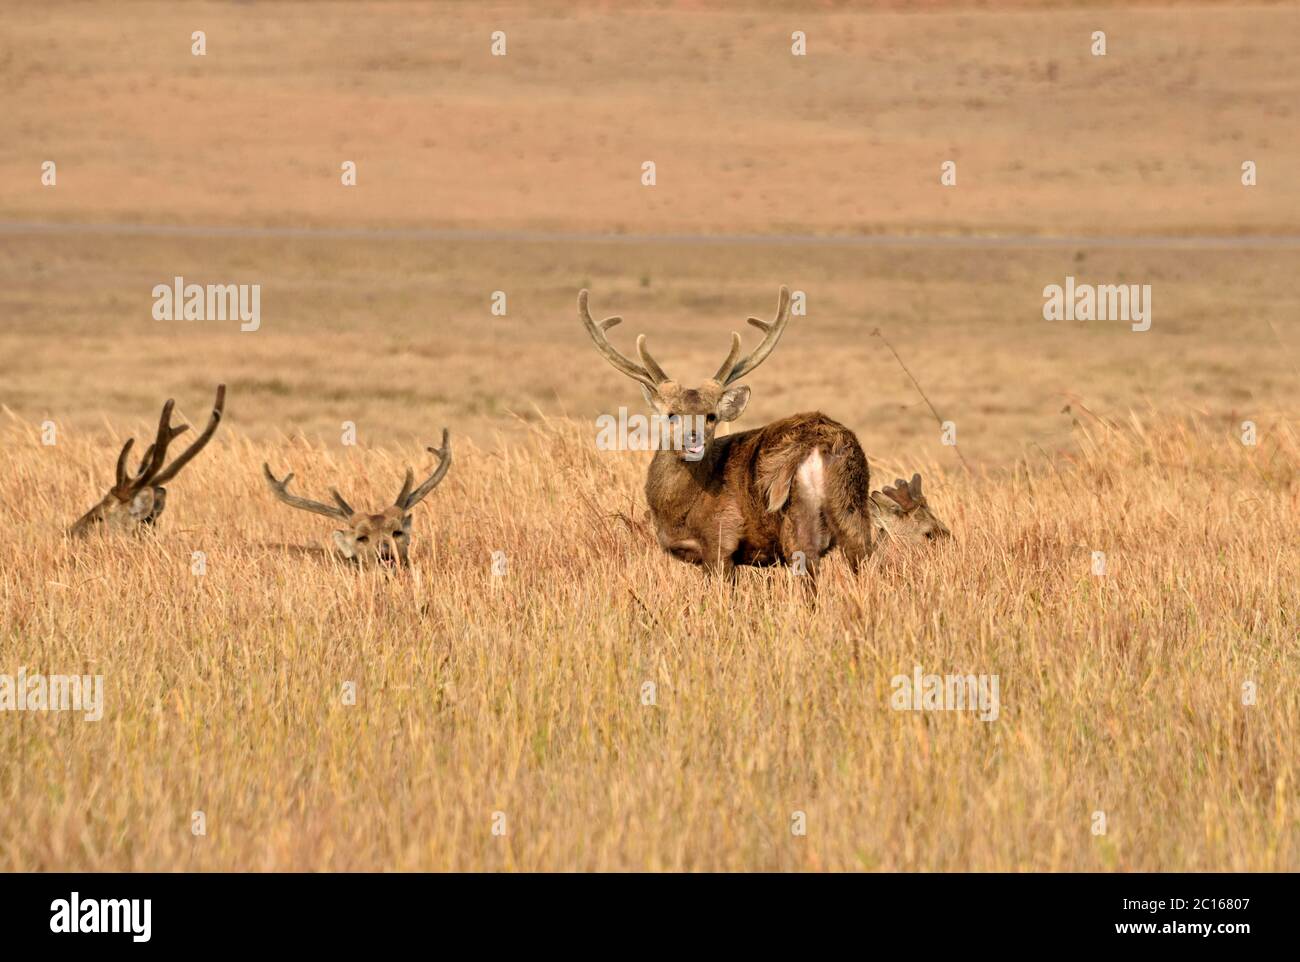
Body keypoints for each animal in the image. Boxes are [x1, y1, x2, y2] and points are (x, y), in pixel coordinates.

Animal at [580, 286, 909, 582]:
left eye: (711, 416)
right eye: (671, 414)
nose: (693, 440)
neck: (681, 512)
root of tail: (824, 442)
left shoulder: (720, 541)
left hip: (797, 521)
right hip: (853, 510)